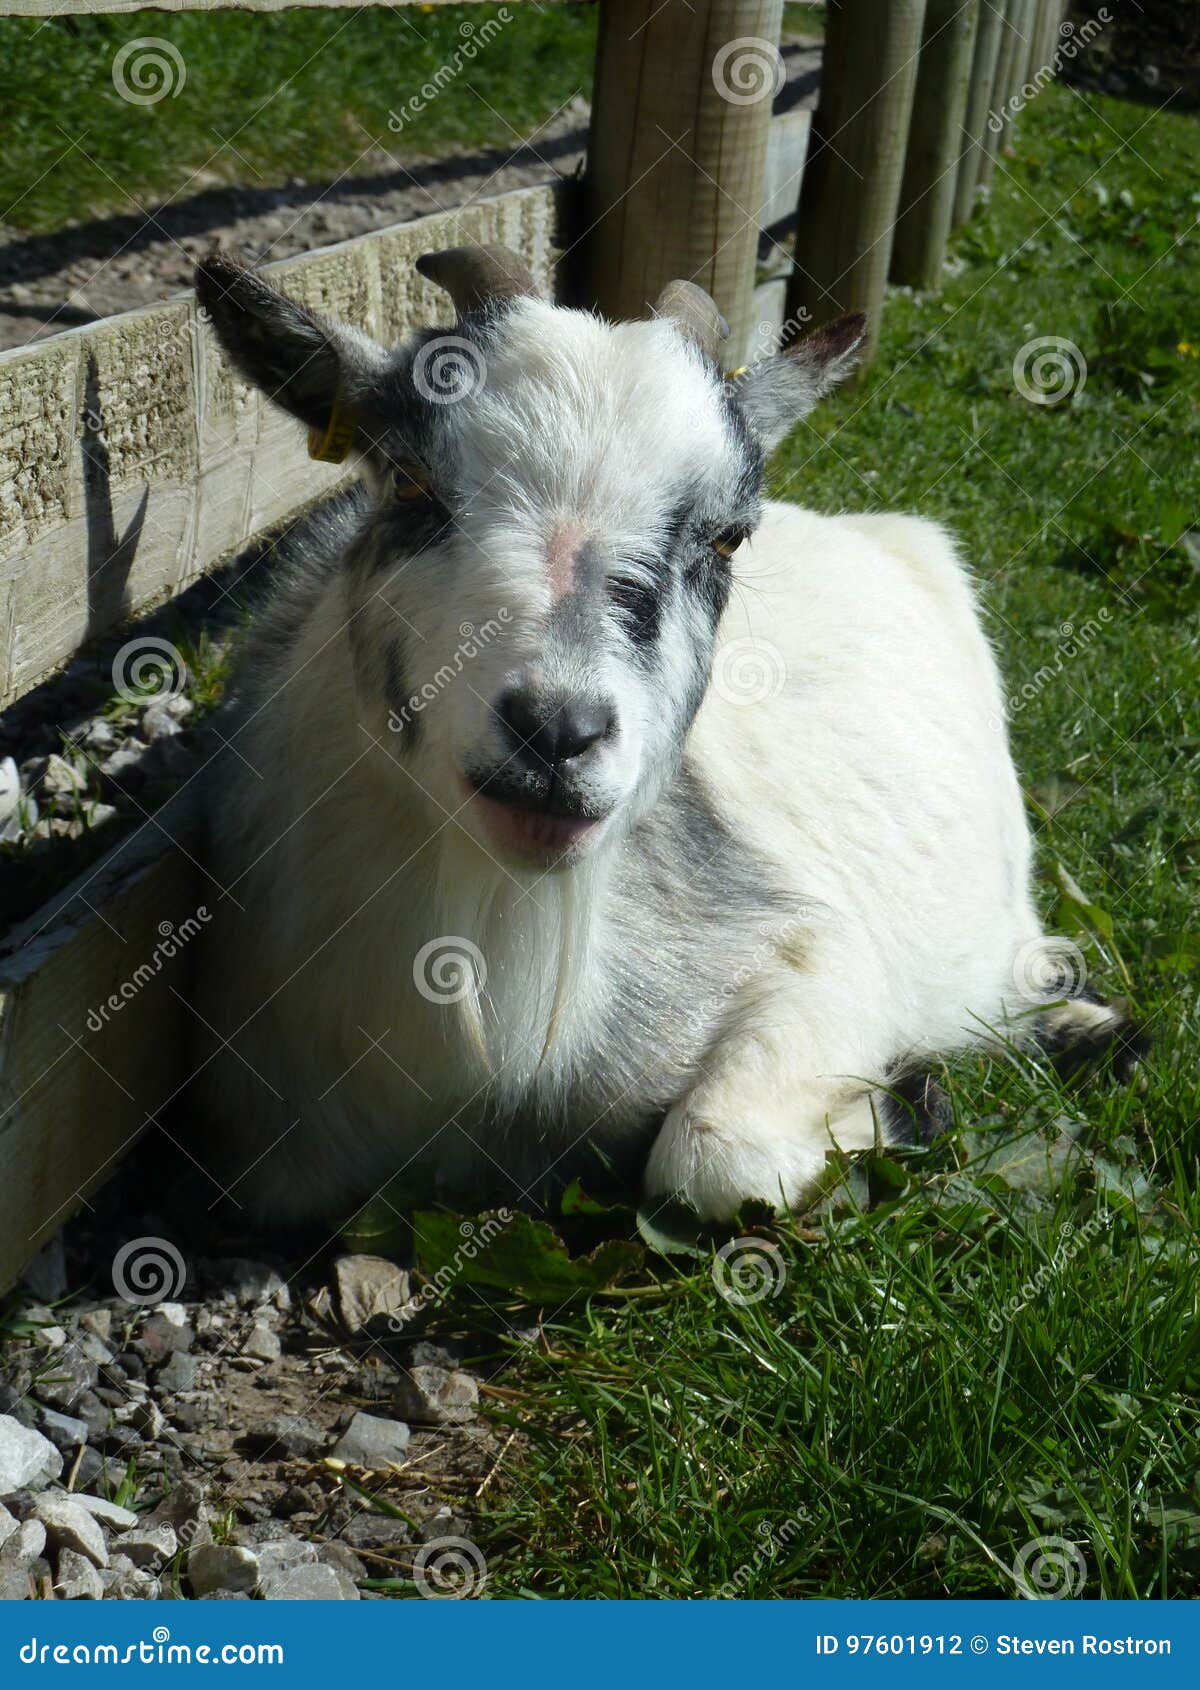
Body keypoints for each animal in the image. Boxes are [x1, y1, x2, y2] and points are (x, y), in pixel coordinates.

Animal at [190, 245, 1137, 1224]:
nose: (557, 732)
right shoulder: (276, 1148)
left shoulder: (812, 950)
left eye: (727, 538)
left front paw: (910, 1097)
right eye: (411, 483)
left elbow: (710, 1158)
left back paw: (1079, 1026)